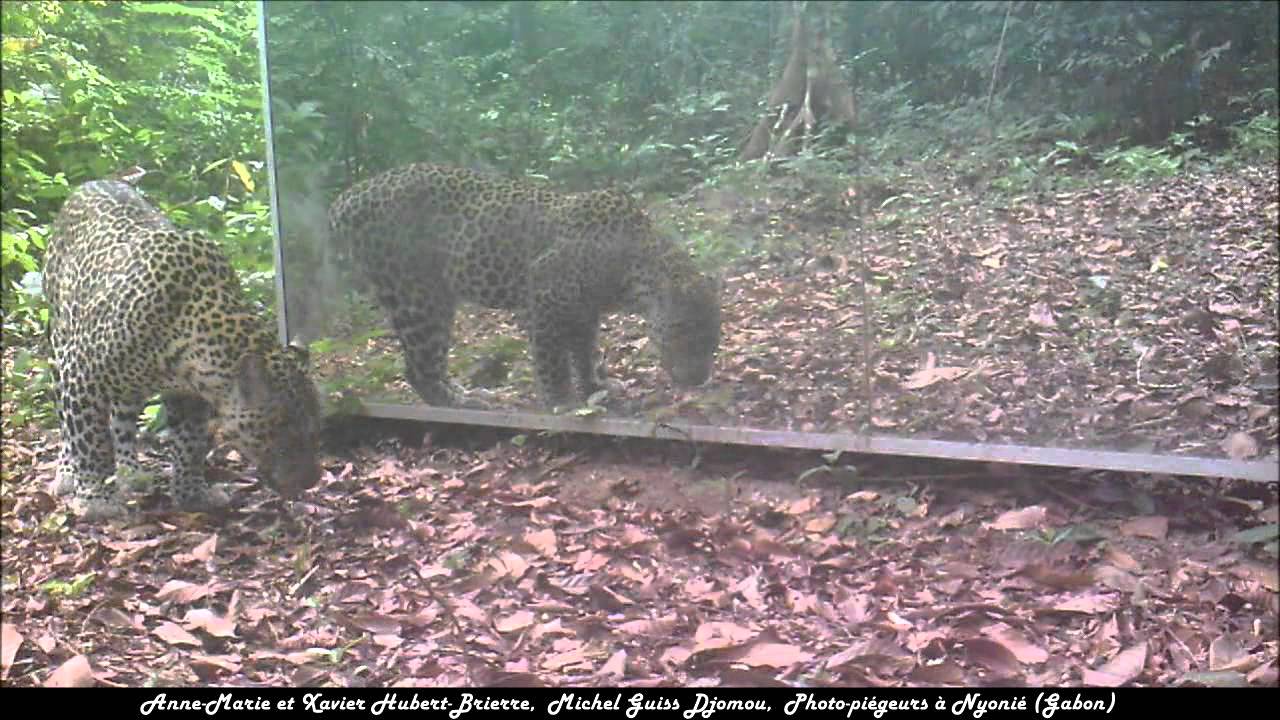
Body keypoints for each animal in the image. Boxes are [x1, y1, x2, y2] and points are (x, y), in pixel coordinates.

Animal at [43, 178, 323, 521]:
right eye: (284, 429)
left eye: (315, 427)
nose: (312, 480)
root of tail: (89, 184)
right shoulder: (81, 373)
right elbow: (89, 440)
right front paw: (96, 499)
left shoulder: (194, 395)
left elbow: (189, 445)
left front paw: (192, 494)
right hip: (59, 346)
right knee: (66, 422)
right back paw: (68, 473)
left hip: (128, 388)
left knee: (120, 418)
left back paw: (131, 471)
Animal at [327, 164, 722, 409]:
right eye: (683, 329)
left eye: (713, 337)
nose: (698, 379)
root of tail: (346, 198)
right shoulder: (544, 294)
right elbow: (552, 358)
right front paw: (560, 400)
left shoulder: (585, 311)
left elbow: (585, 351)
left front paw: (596, 387)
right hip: (418, 295)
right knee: (418, 366)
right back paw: (462, 402)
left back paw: (467, 391)